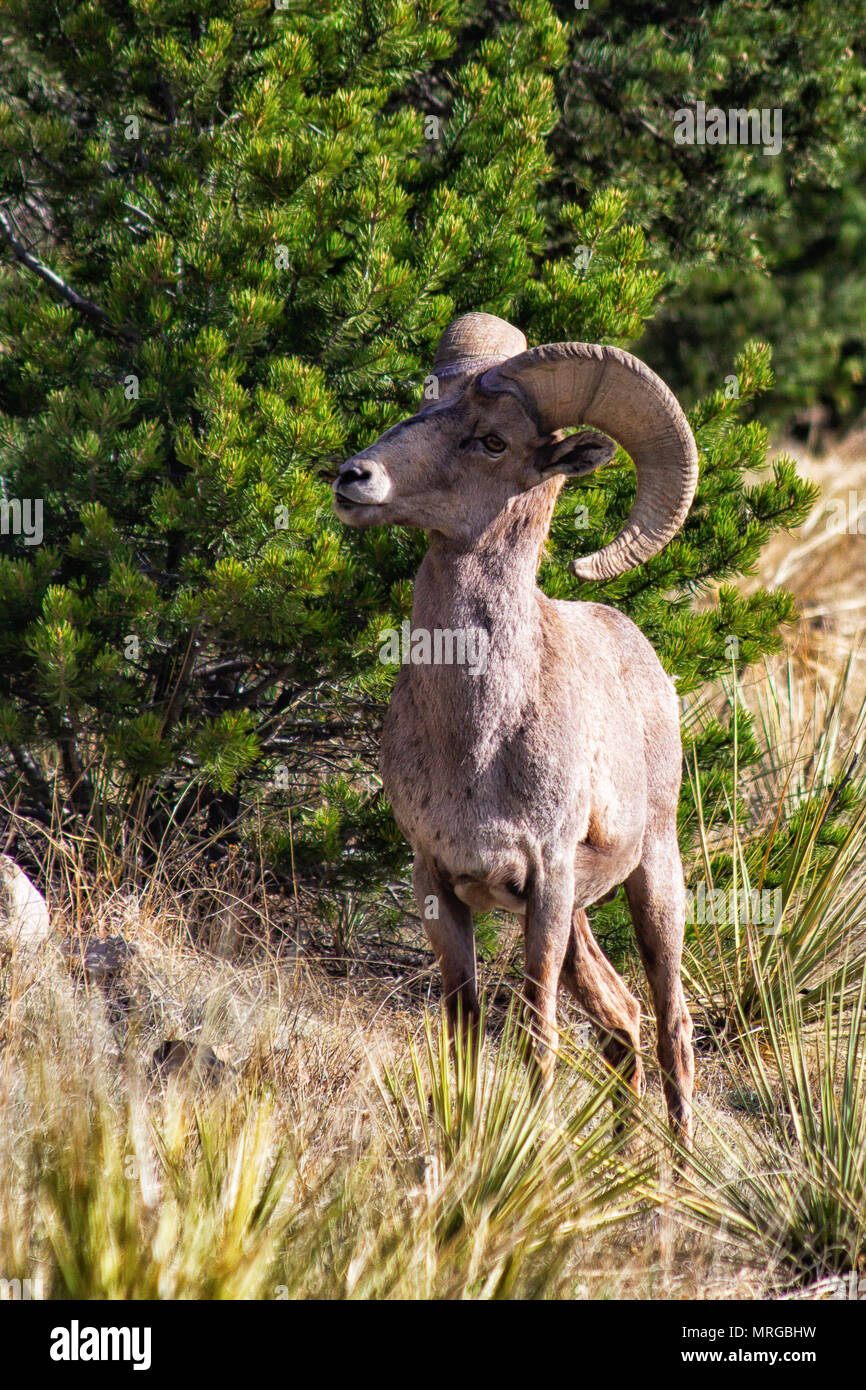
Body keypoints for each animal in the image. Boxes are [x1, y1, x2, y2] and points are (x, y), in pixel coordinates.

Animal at [332, 313, 698, 1142]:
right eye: (426, 404)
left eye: (492, 440)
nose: (354, 478)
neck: (479, 740)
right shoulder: (440, 882)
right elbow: (464, 1028)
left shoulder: (546, 883)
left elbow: (539, 1035)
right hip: (585, 921)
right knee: (622, 1020)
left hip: (653, 883)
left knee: (671, 1029)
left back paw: (676, 1170)